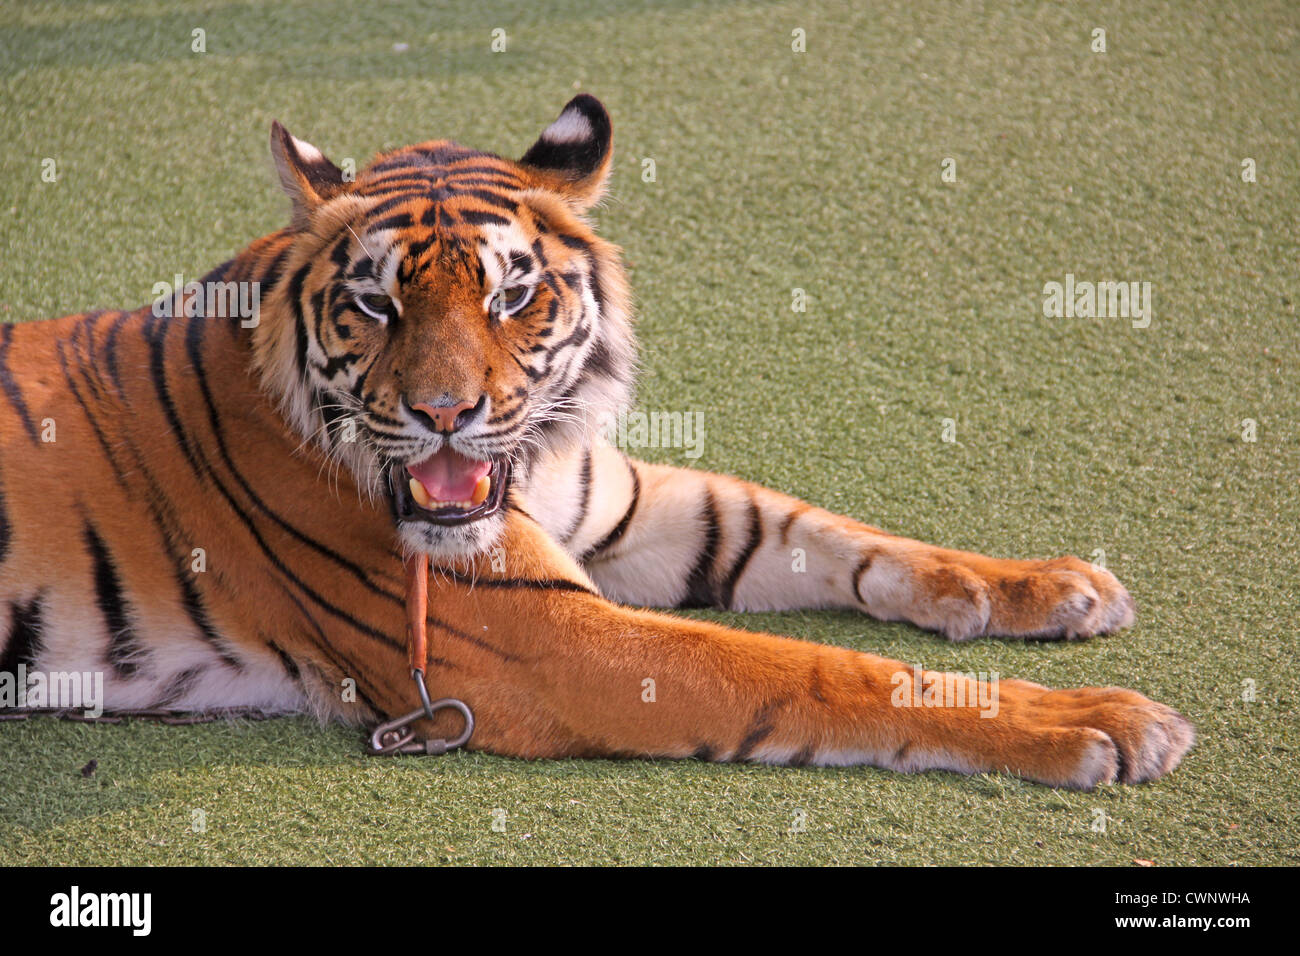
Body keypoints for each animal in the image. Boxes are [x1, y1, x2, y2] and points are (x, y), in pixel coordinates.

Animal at [0, 95, 1192, 789]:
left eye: (511, 294)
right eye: (376, 304)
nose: (445, 414)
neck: (532, 462)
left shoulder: (627, 506)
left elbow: (843, 538)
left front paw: (1053, 584)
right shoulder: (540, 639)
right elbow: (812, 666)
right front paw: (1098, 720)